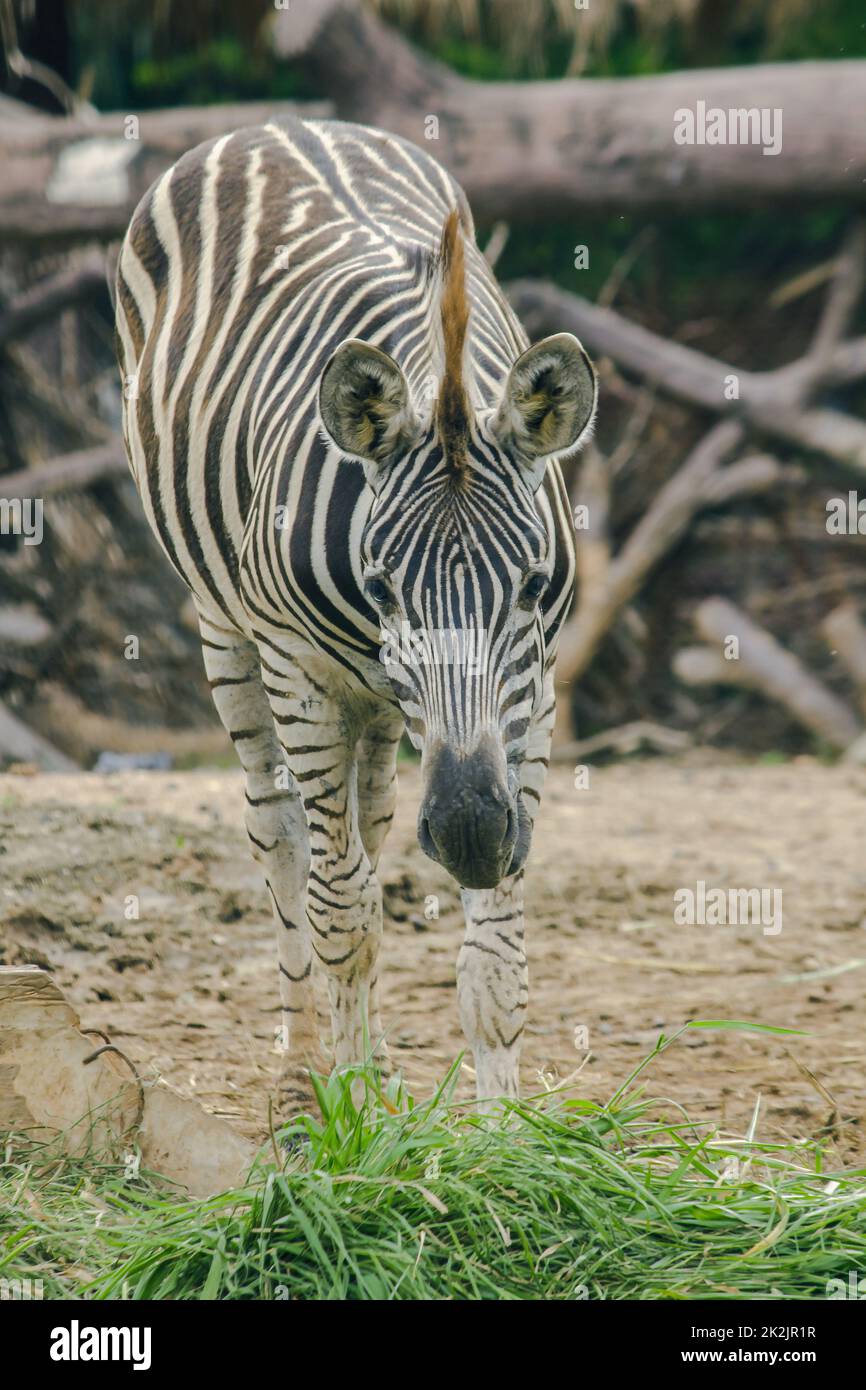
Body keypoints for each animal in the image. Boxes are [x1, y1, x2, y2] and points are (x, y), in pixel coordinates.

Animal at [115, 116, 597, 1110]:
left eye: (532, 587)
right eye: (383, 590)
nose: (467, 828)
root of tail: (278, 121)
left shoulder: (536, 686)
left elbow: (494, 963)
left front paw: (506, 1137)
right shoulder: (299, 669)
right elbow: (341, 913)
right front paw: (355, 1126)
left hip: (377, 706)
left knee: (369, 832)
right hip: (230, 631)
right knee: (284, 839)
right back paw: (307, 1077)